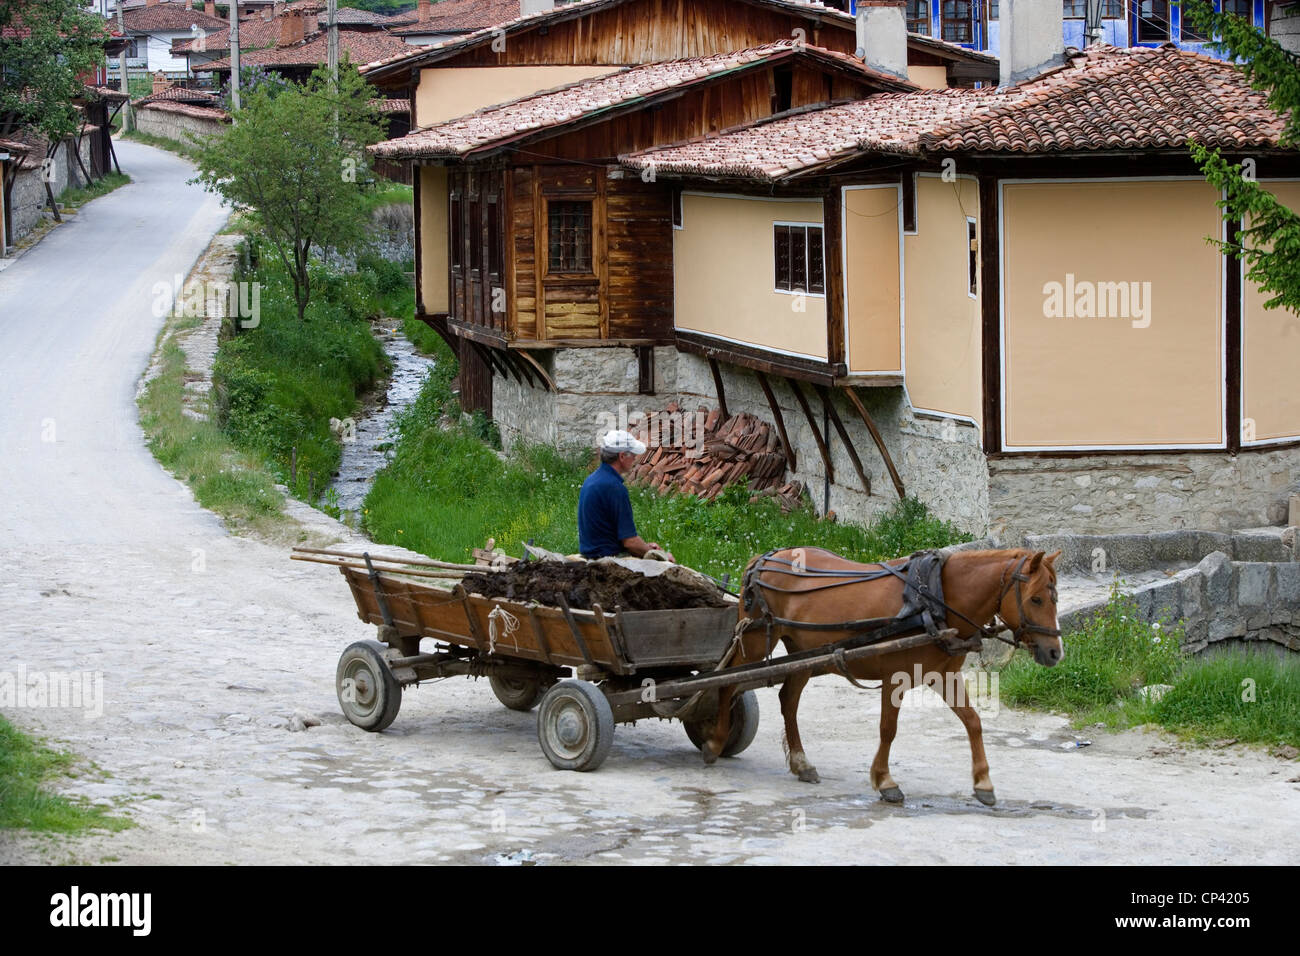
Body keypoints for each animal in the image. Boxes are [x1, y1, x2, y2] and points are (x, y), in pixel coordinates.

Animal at [700, 547, 1063, 807]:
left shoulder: (944, 676)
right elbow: (888, 729)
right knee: (727, 682)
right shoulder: (895, 678)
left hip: (802, 653)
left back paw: (802, 763)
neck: (933, 599)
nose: (1055, 653)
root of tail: (763, 558)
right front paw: (885, 781)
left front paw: (983, 783)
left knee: (788, 701)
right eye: (1036, 598)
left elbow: (973, 722)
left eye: (1054, 597)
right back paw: (715, 741)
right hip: (752, 642)